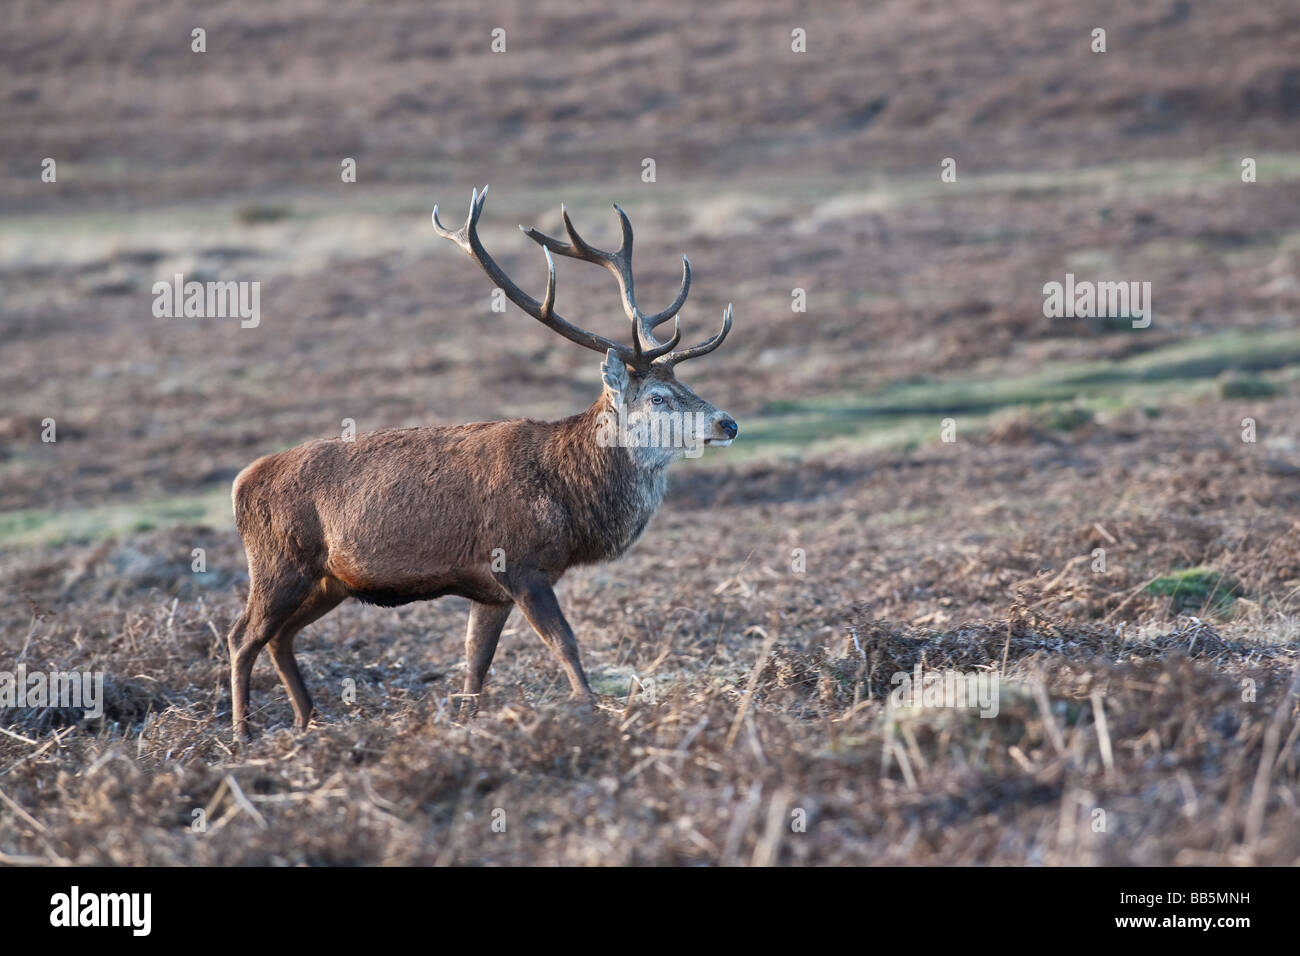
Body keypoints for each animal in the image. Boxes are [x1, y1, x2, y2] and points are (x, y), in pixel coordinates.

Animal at [225, 186, 738, 737]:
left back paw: (308, 722)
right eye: (659, 397)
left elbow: (475, 664)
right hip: (278, 563)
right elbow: (566, 644)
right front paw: (590, 713)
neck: (569, 500)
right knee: (241, 637)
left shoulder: (489, 591)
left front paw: (466, 724)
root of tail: (241, 482)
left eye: (687, 386)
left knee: (279, 638)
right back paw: (243, 733)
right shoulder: (519, 562)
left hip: (329, 580)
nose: (728, 423)